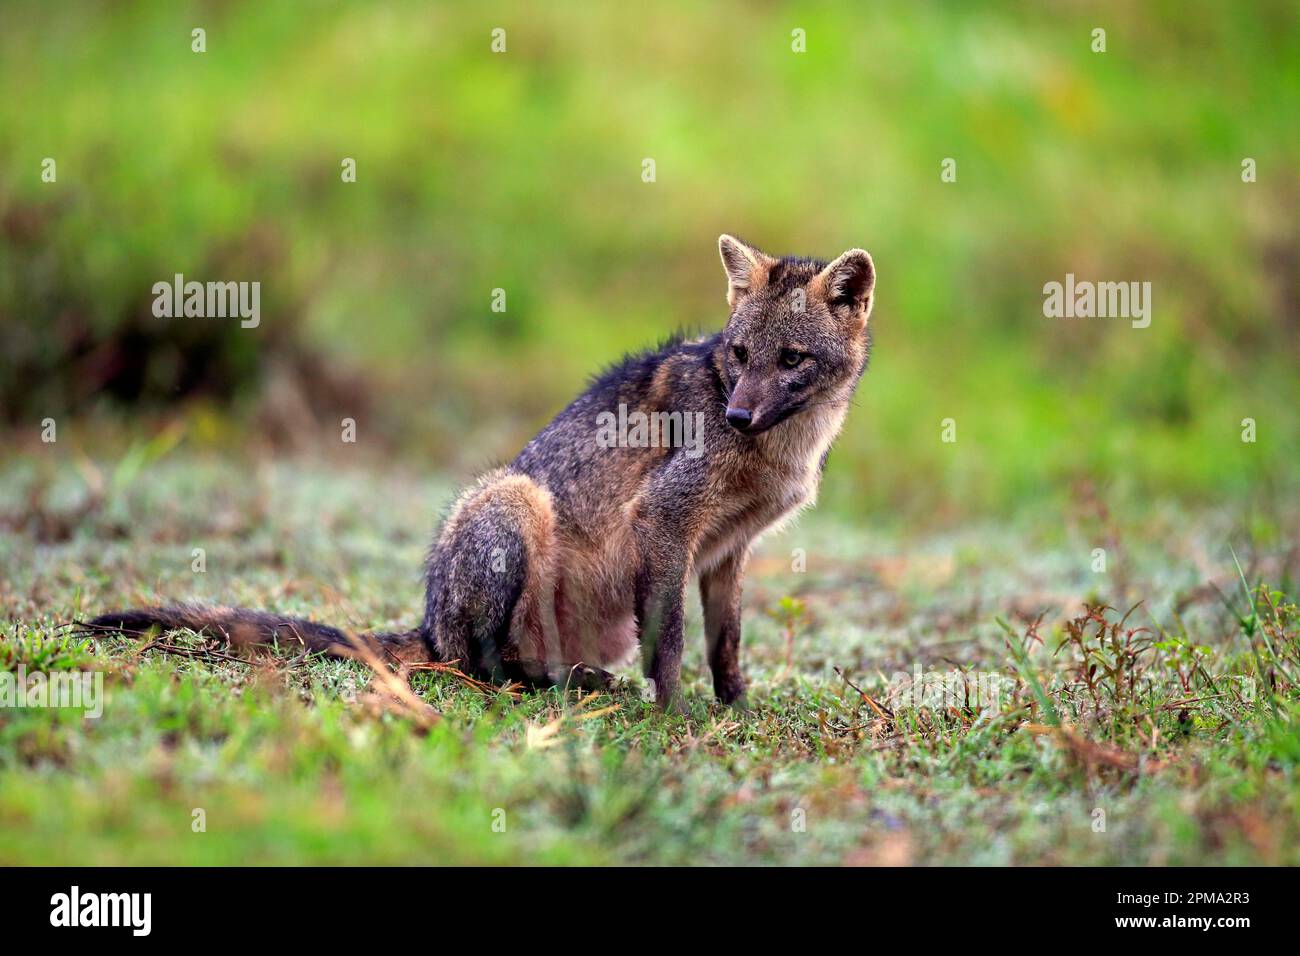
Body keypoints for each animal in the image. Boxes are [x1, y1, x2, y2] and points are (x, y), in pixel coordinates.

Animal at [85, 235, 876, 710]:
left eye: (791, 359)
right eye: (740, 355)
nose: (738, 416)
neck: (779, 453)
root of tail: (430, 623)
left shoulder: (725, 550)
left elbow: (726, 640)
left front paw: (735, 706)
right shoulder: (665, 521)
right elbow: (673, 641)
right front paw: (675, 716)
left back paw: (581, 679)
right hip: (515, 504)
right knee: (482, 666)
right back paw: (544, 685)